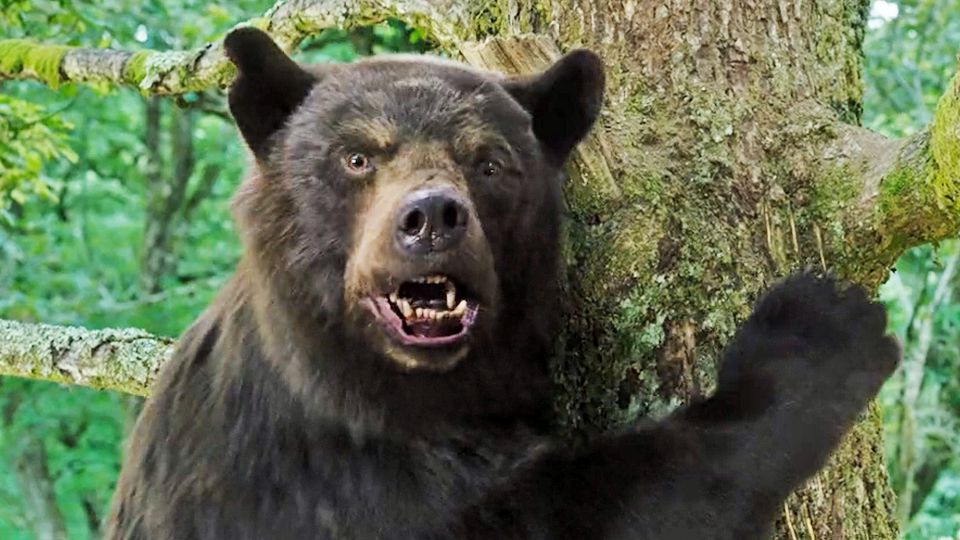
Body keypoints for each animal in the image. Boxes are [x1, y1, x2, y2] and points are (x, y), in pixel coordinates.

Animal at [105, 27, 899, 540]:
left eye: (489, 162)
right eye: (357, 156)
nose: (432, 216)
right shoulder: (329, 477)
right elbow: (593, 507)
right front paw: (818, 331)